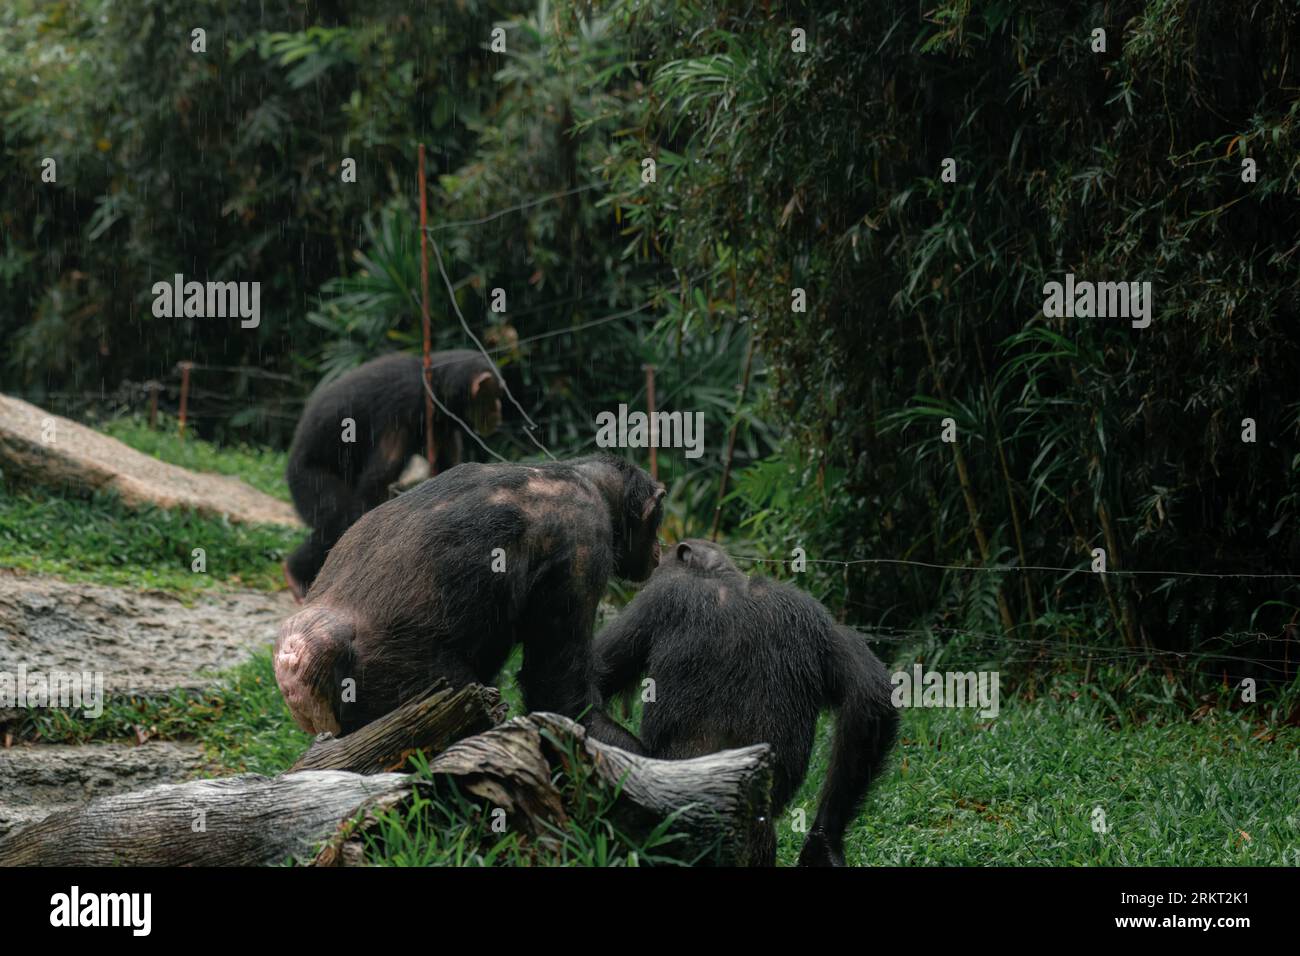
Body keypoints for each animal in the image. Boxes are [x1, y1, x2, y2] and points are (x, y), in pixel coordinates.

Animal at [274, 454, 664, 753]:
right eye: (657, 521)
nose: (660, 549)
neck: (584, 479)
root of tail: (299, 650)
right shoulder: (584, 540)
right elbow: (558, 685)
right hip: (401, 681)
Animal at [283, 350, 503, 600]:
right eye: (494, 394)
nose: (498, 408)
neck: (433, 386)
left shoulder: (441, 425)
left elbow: (448, 471)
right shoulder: (401, 406)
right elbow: (378, 480)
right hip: (308, 481)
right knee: (339, 518)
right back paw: (296, 576)